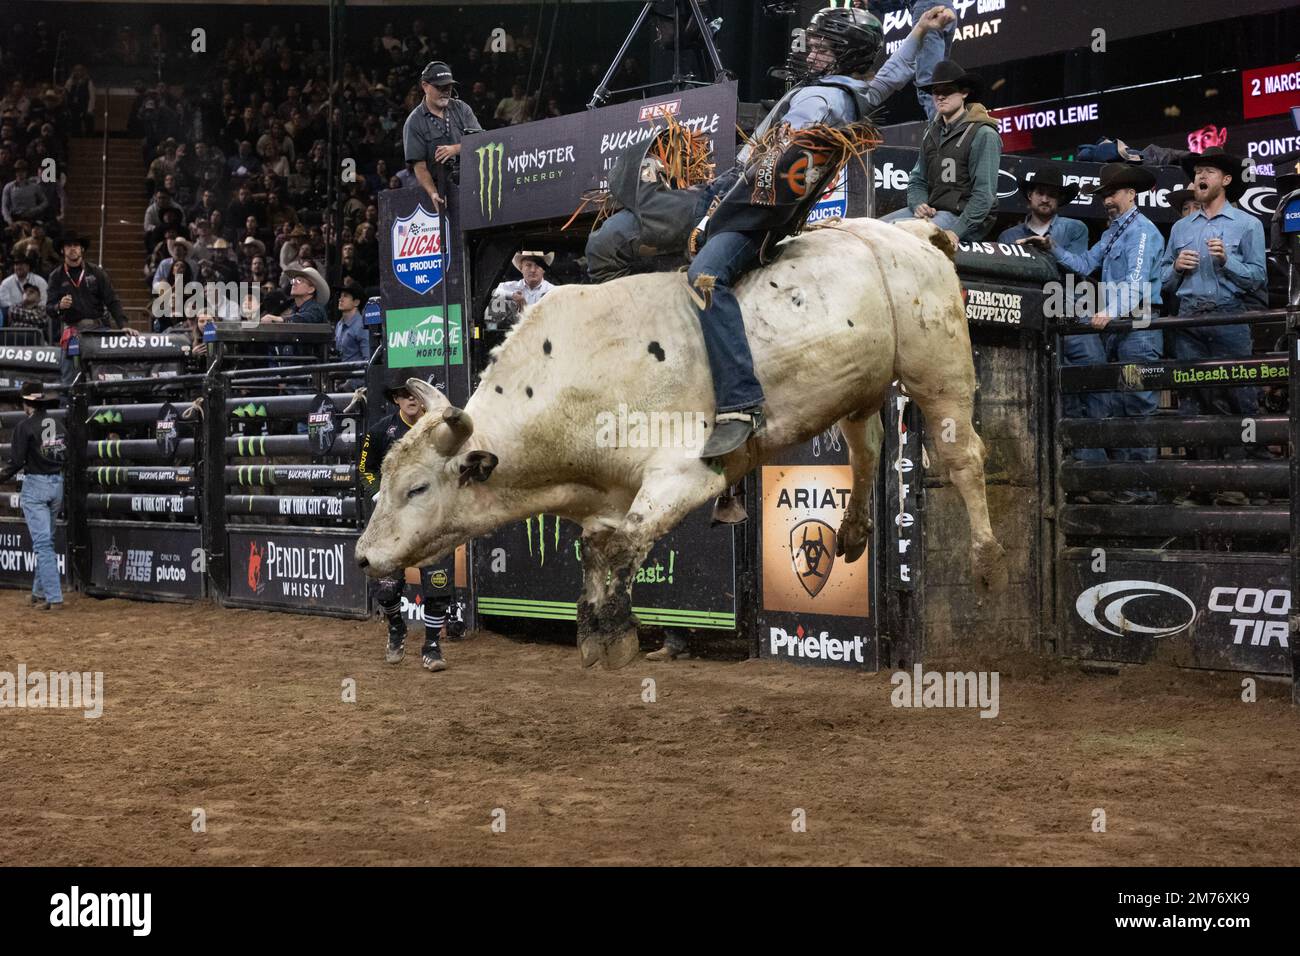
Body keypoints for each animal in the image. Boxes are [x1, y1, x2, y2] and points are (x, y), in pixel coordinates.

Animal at [355, 217, 1007, 669]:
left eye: (418, 488)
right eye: (384, 478)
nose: (362, 556)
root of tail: (906, 232)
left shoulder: (684, 472)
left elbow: (627, 545)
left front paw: (616, 636)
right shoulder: (601, 500)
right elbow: (598, 552)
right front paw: (595, 632)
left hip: (938, 363)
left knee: (962, 455)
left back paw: (985, 563)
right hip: (860, 385)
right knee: (867, 446)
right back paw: (850, 533)